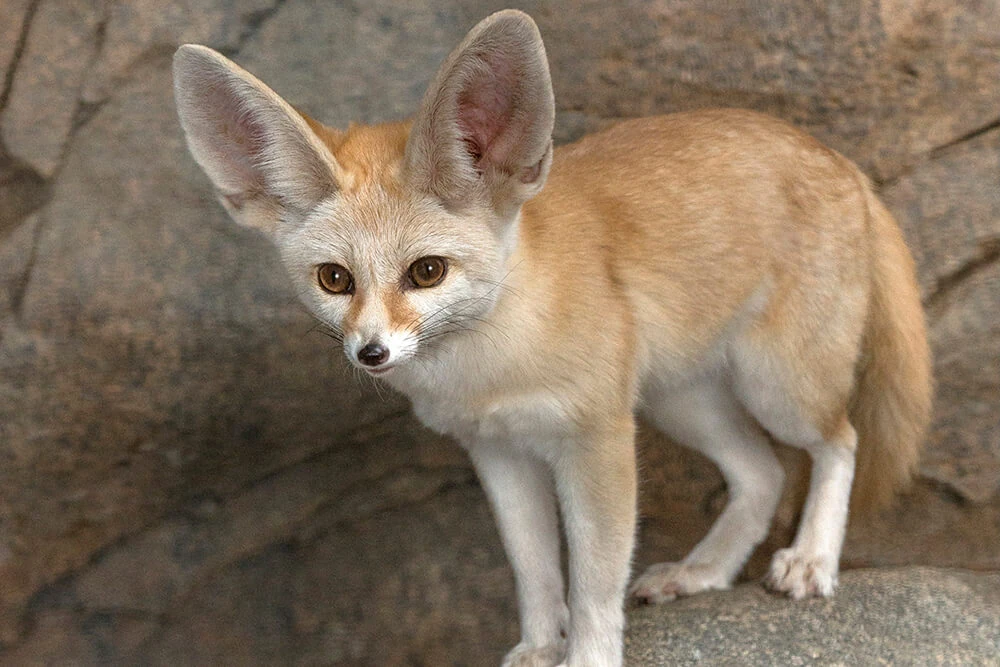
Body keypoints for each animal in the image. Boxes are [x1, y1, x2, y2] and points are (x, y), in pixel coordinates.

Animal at [172, 9, 932, 667]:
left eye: (426, 271)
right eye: (335, 279)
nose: (372, 353)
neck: (491, 369)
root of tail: (840, 160)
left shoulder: (596, 440)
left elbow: (592, 579)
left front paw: (589, 656)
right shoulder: (498, 453)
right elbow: (534, 571)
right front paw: (540, 647)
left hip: (776, 386)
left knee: (839, 442)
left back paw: (811, 560)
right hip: (683, 403)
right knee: (763, 472)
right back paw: (703, 572)